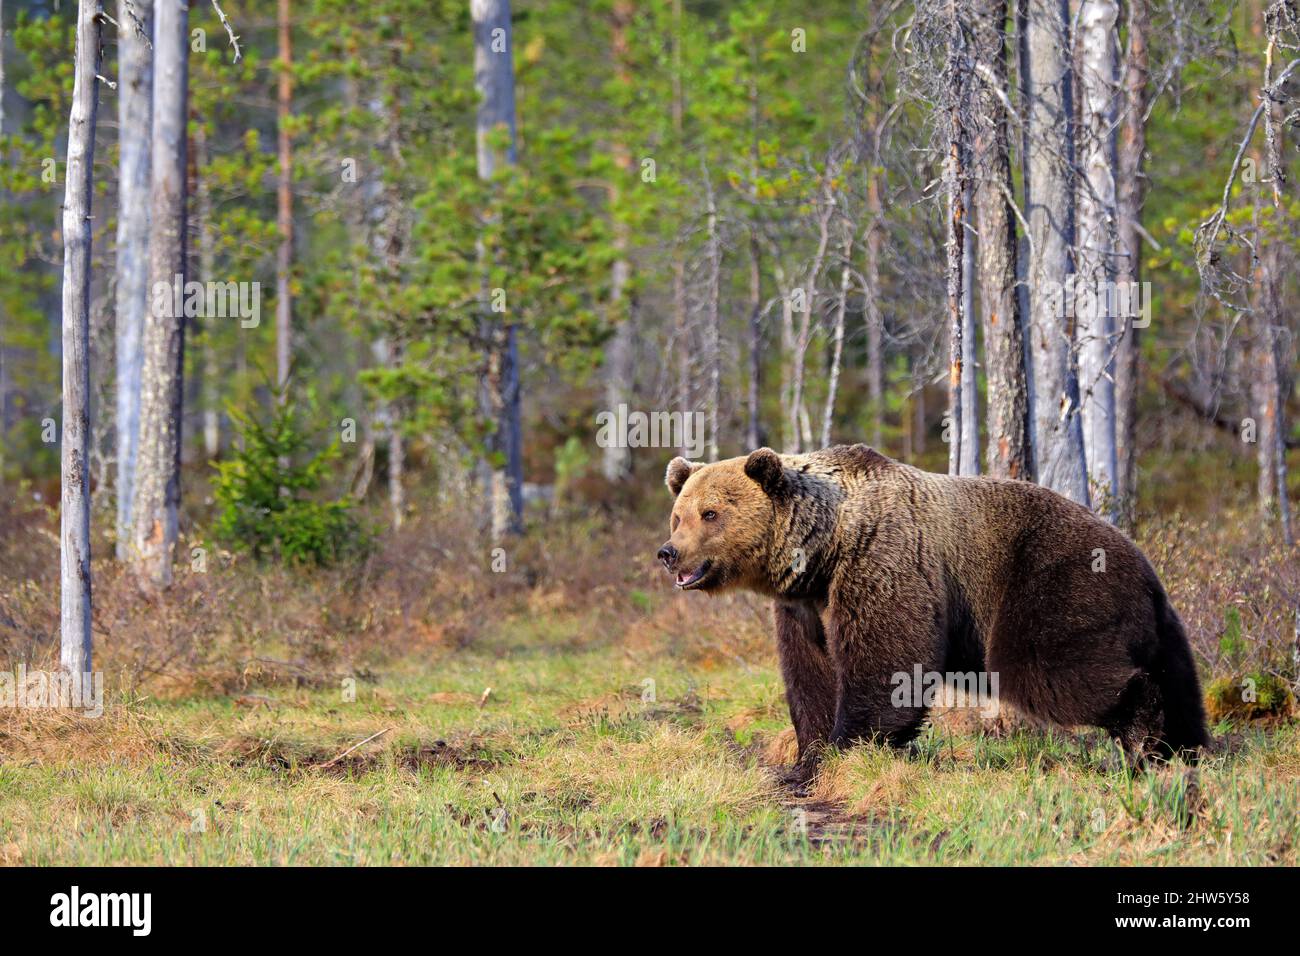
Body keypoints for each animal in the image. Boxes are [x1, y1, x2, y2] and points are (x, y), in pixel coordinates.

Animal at [657, 444, 1209, 771]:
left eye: (711, 513)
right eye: (678, 515)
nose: (669, 553)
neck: (824, 547)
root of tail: (1143, 563)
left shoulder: (885, 560)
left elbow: (888, 660)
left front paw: (847, 745)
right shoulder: (804, 606)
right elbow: (809, 671)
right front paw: (809, 750)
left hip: (1053, 582)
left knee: (1051, 667)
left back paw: (1142, 733)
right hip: (1161, 623)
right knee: (1180, 679)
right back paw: (1183, 748)